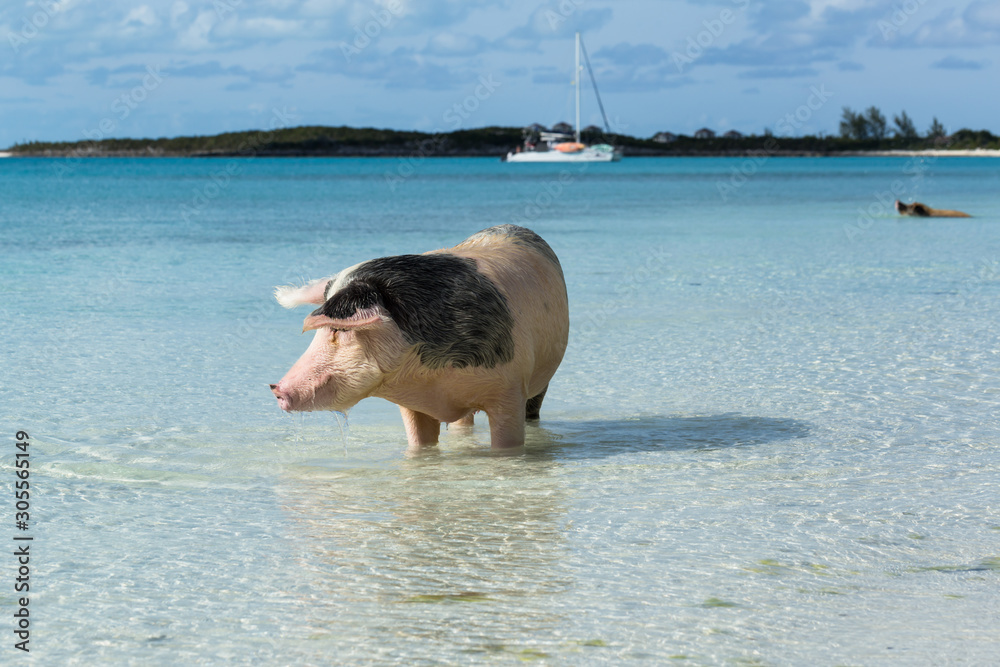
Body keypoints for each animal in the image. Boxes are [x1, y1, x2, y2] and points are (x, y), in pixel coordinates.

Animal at [270, 224, 569, 449]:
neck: (430, 385)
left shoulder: (510, 389)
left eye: (339, 329)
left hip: (541, 381)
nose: (276, 388)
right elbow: (419, 444)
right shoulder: (411, 406)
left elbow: (507, 443)